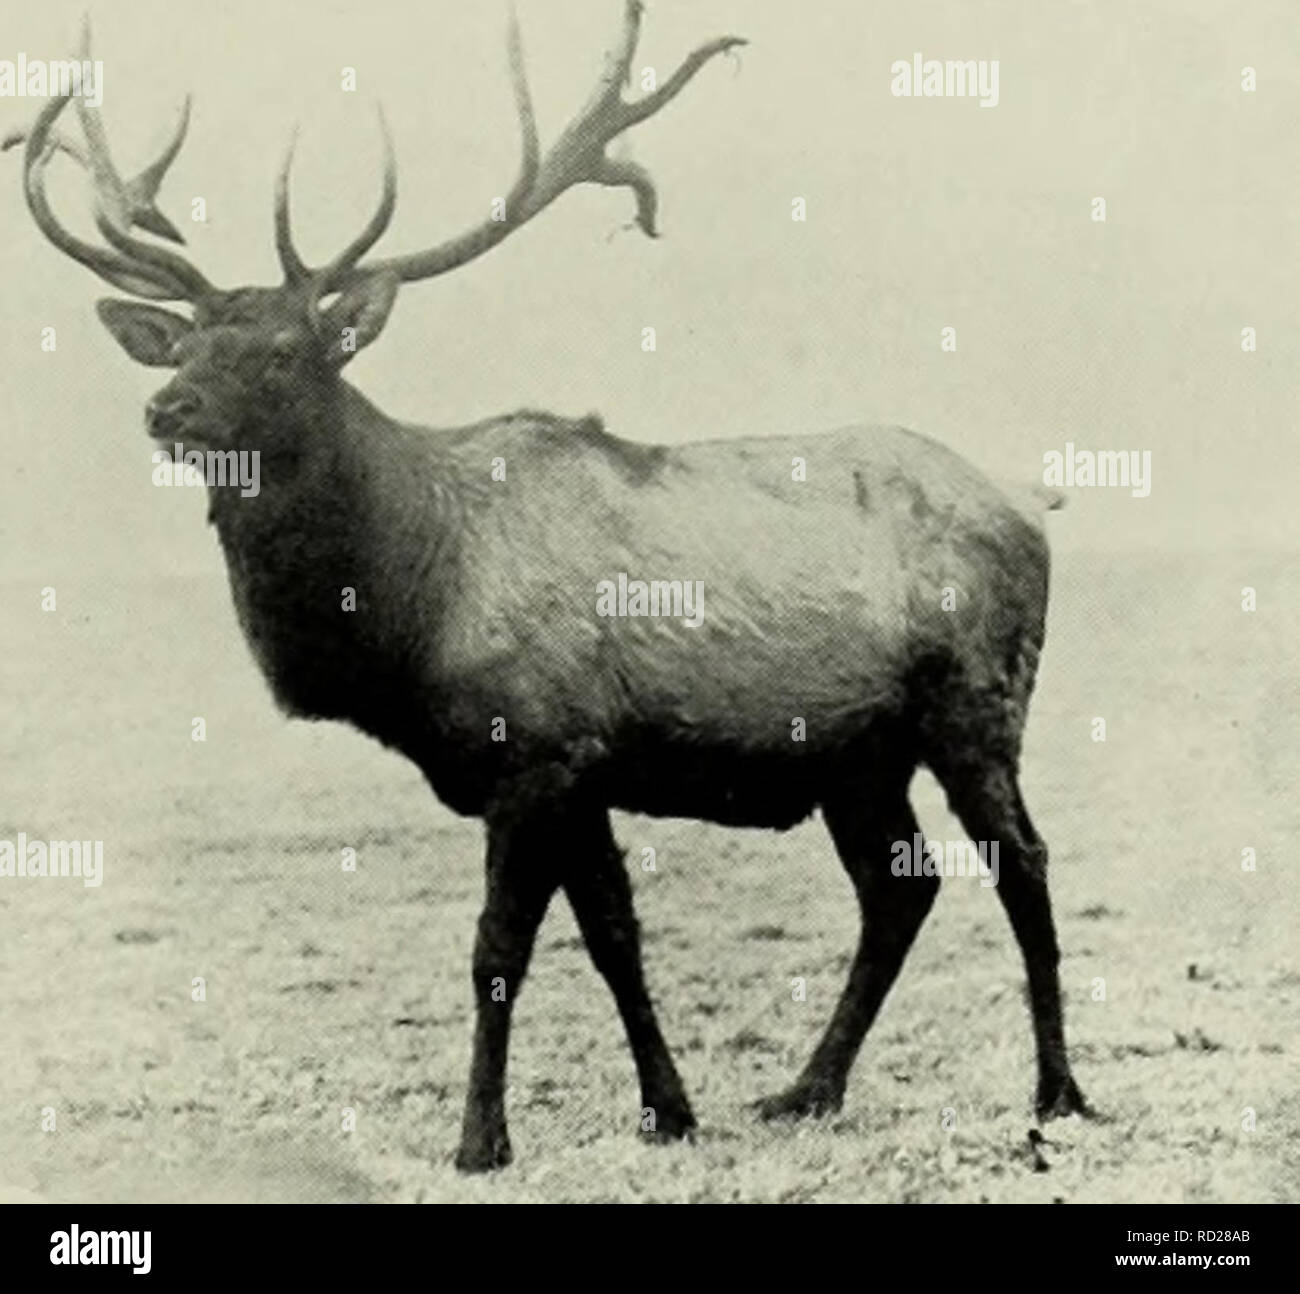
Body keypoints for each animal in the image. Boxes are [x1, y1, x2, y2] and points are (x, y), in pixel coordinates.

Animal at [8, 4, 1090, 1173]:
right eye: (188, 344)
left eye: (288, 351)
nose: (165, 409)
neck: (408, 609)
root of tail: (1027, 499)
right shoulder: (580, 767)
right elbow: (614, 935)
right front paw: (670, 1109)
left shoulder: (537, 749)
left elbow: (498, 949)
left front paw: (481, 1138)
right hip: (857, 750)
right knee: (901, 886)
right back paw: (807, 1089)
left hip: (975, 696)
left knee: (1024, 864)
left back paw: (1059, 1090)